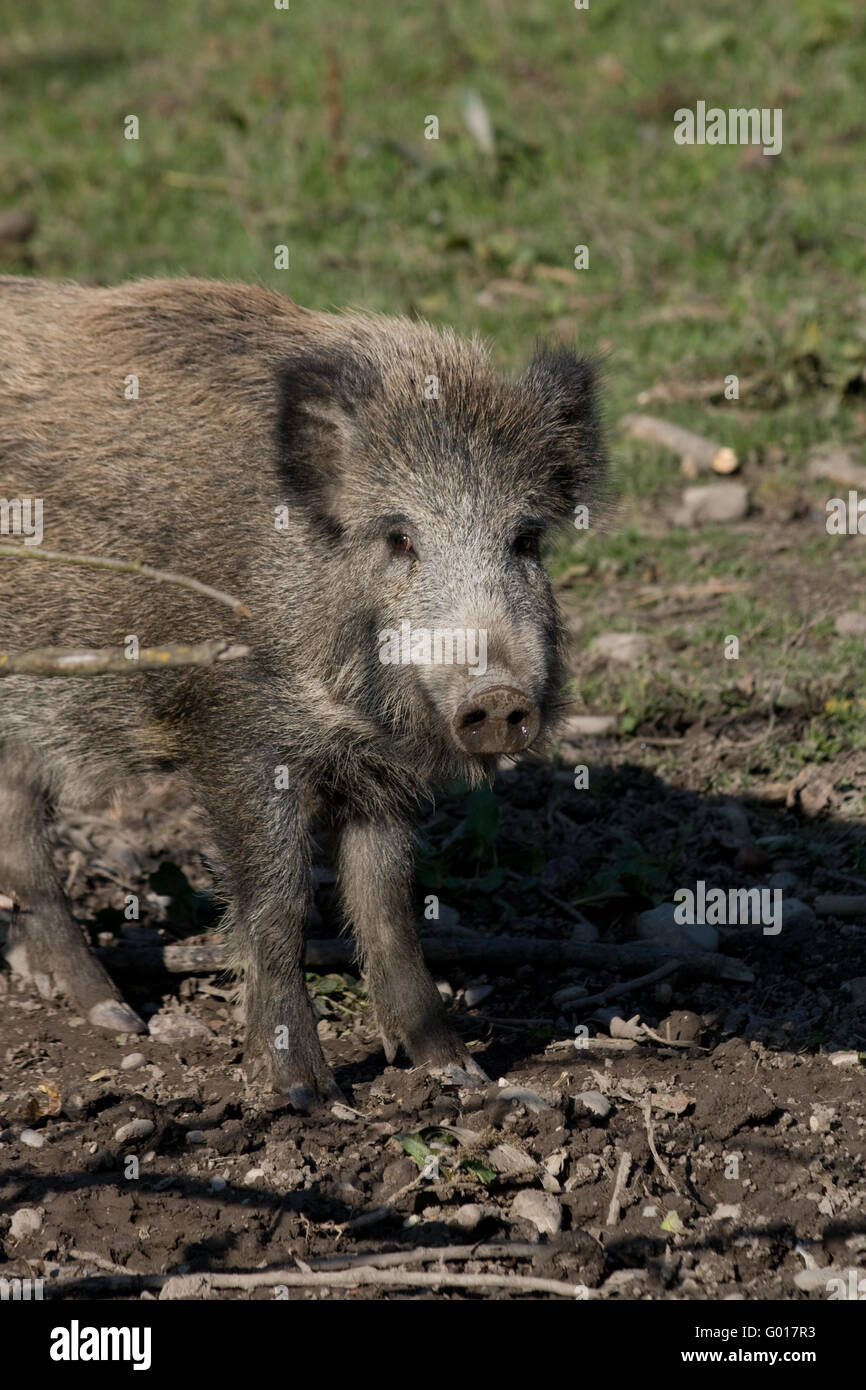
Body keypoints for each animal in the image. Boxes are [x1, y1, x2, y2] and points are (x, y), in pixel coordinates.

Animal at [0, 277, 605, 1107]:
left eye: (526, 540)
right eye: (399, 538)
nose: (499, 696)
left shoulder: (381, 773)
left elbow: (389, 908)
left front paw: (456, 1069)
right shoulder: (234, 733)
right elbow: (280, 903)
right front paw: (303, 1095)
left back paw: (107, 1012)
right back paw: (123, 1020)